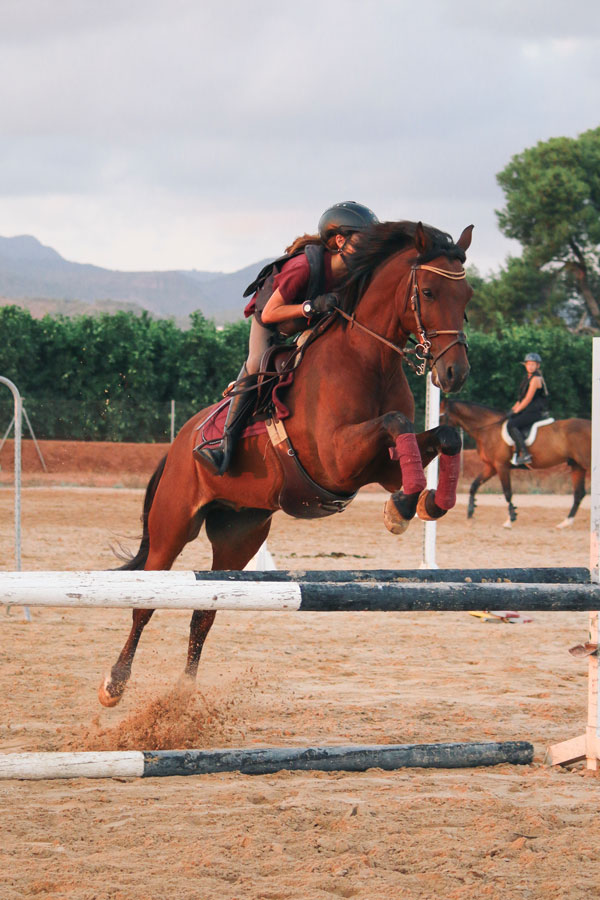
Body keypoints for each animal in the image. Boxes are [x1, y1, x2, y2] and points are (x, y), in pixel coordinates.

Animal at [99, 220, 474, 707]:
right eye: (428, 292)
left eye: (467, 298)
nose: (454, 374)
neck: (367, 358)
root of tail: (180, 442)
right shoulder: (338, 457)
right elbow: (395, 423)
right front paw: (403, 509)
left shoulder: (383, 467)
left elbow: (442, 435)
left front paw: (424, 503)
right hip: (173, 526)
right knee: (144, 603)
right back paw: (114, 684)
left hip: (239, 533)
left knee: (205, 612)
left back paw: (183, 697)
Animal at [441, 398, 591, 529]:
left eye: (442, 416)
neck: (488, 429)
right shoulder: (491, 467)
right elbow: (474, 486)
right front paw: (470, 516)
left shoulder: (501, 466)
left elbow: (508, 492)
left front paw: (510, 519)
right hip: (577, 466)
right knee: (579, 494)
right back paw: (565, 523)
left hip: (586, 463)